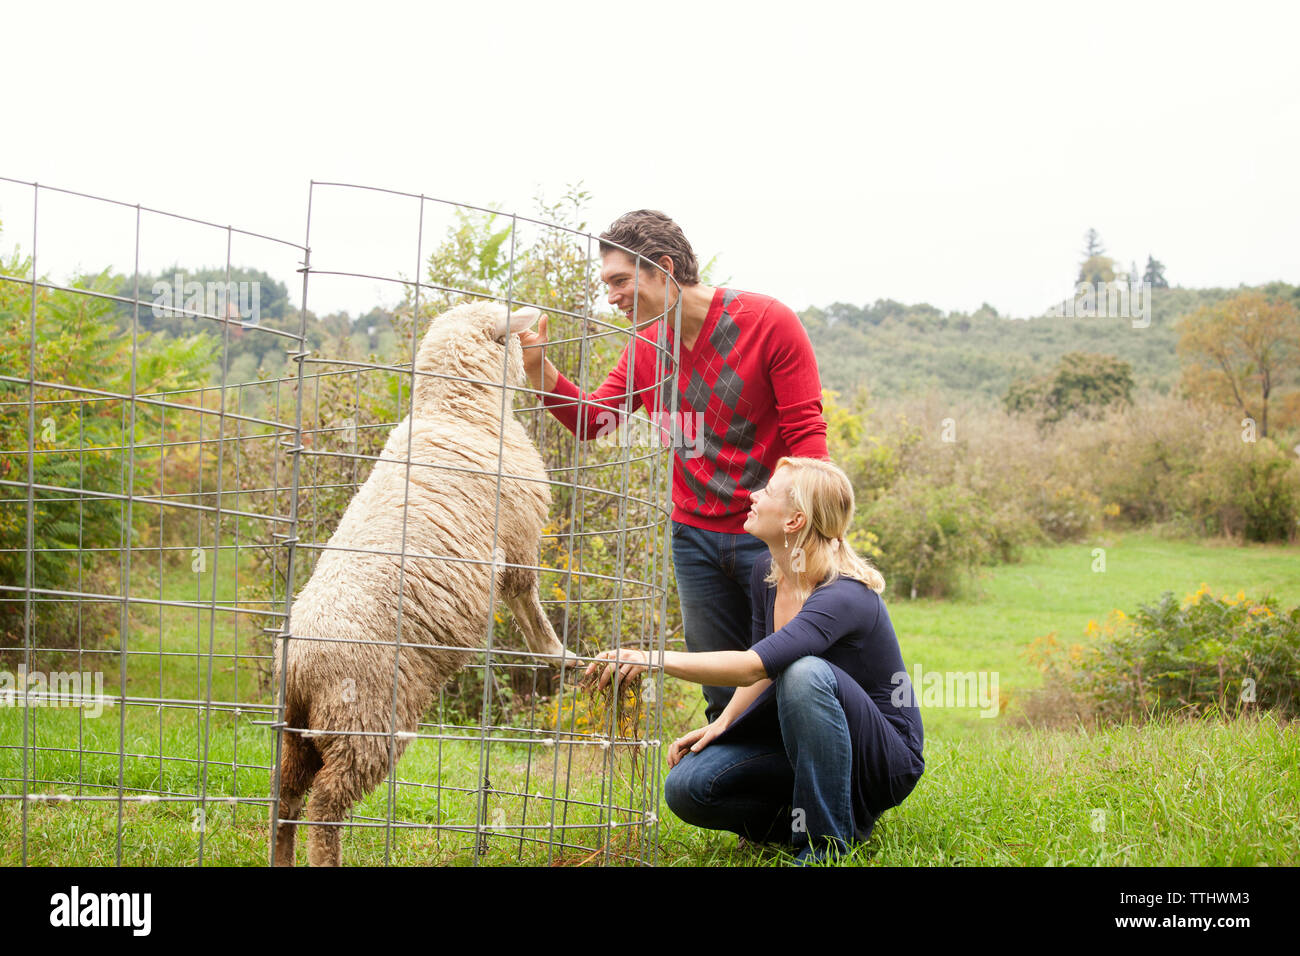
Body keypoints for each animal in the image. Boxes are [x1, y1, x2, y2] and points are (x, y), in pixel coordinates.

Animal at [271, 300, 566, 867]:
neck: (456, 410)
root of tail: (298, 667)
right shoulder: (518, 543)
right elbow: (528, 604)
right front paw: (557, 654)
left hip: (298, 730)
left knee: (285, 797)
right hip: (365, 722)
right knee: (324, 806)